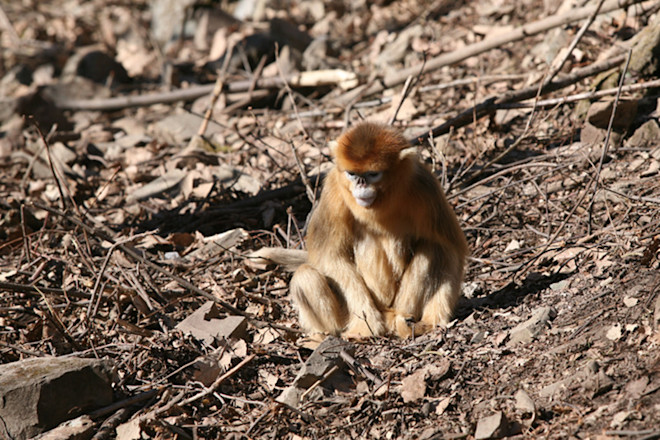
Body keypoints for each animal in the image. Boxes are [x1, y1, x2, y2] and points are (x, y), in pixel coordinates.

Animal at [252, 122, 468, 338]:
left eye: (372, 174)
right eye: (352, 174)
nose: (360, 185)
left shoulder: (425, 187)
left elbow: (452, 249)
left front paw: (432, 321)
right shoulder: (334, 189)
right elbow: (331, 256)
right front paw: (366, 324)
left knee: (435, 249)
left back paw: (401, 318)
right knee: (305, 276)